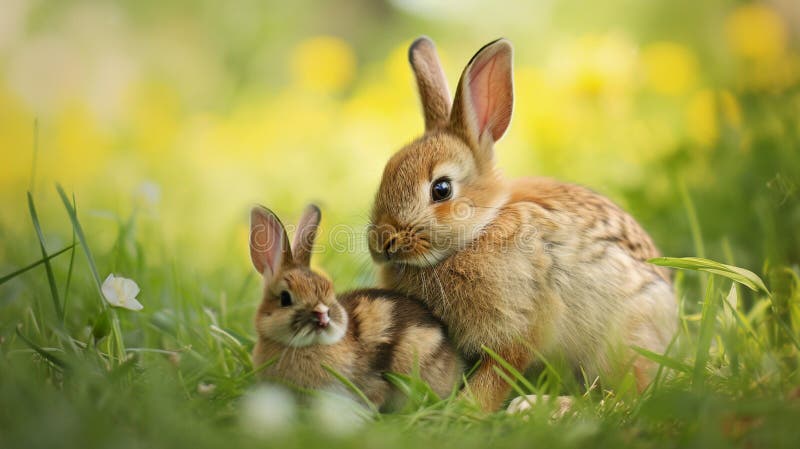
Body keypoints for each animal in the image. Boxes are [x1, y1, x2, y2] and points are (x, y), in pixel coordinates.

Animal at [366, 37, 677, 411]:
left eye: (441, 189)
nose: (382, 241)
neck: (480, 229)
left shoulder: (519, 323)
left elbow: (497, 372)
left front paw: (465, 409)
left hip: (621, 341)